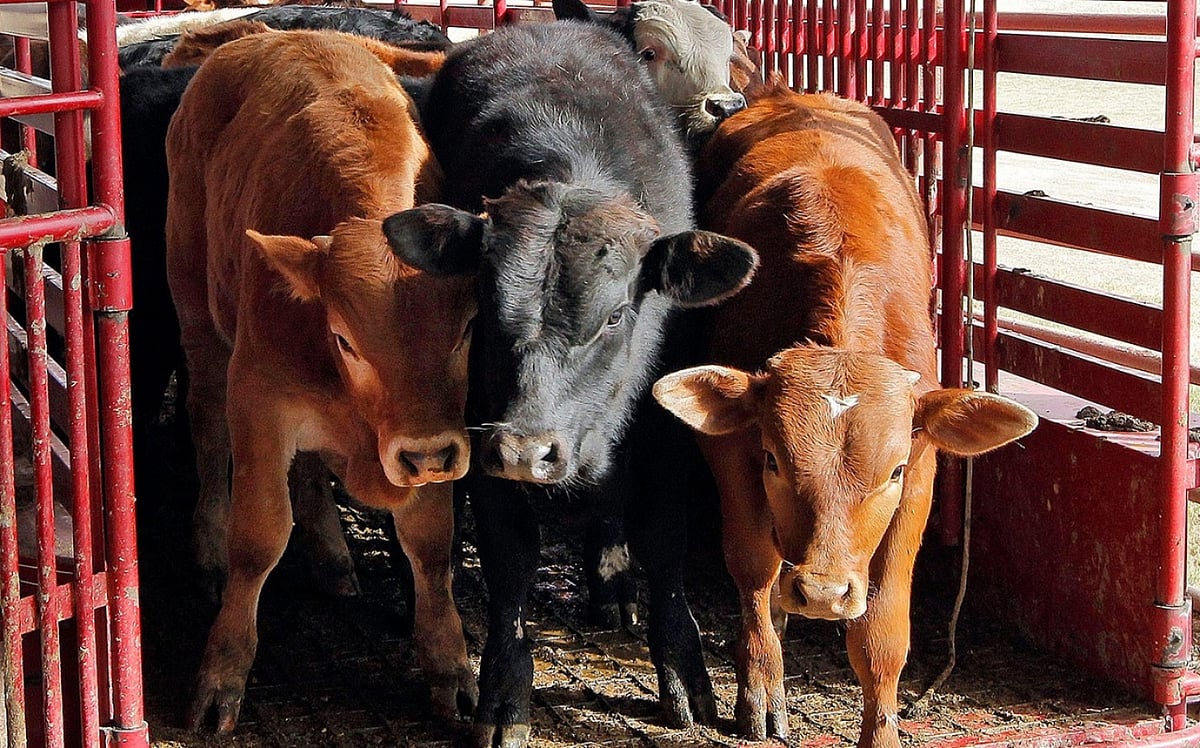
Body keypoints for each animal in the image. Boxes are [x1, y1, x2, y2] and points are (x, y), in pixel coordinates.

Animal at [164, 30, 478, 733]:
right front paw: (222, 673)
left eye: (468, 329)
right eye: (344, 339)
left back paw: (332, 554)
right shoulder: (259, 398)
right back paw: (206, 546)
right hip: (197, 313)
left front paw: (450, 666)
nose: (426, 453)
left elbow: (432, 542)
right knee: (204, 424)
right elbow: (258, 537)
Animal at [380, 21, 758, 747]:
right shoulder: (484, 428)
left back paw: (611, 583)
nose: (527, 453)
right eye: (483, 306)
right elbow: (510, 557)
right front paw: (504, 693)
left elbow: (663, 536)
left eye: (615, 316)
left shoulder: (667, 422)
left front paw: (683, 666)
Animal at [652, 82, 1039, 747]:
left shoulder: (922, 468)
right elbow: (753, 564)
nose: (824, 593)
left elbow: (882, 631)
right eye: (774, 461)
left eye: (892, 471)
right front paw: (761, 684)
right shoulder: (729, 448)